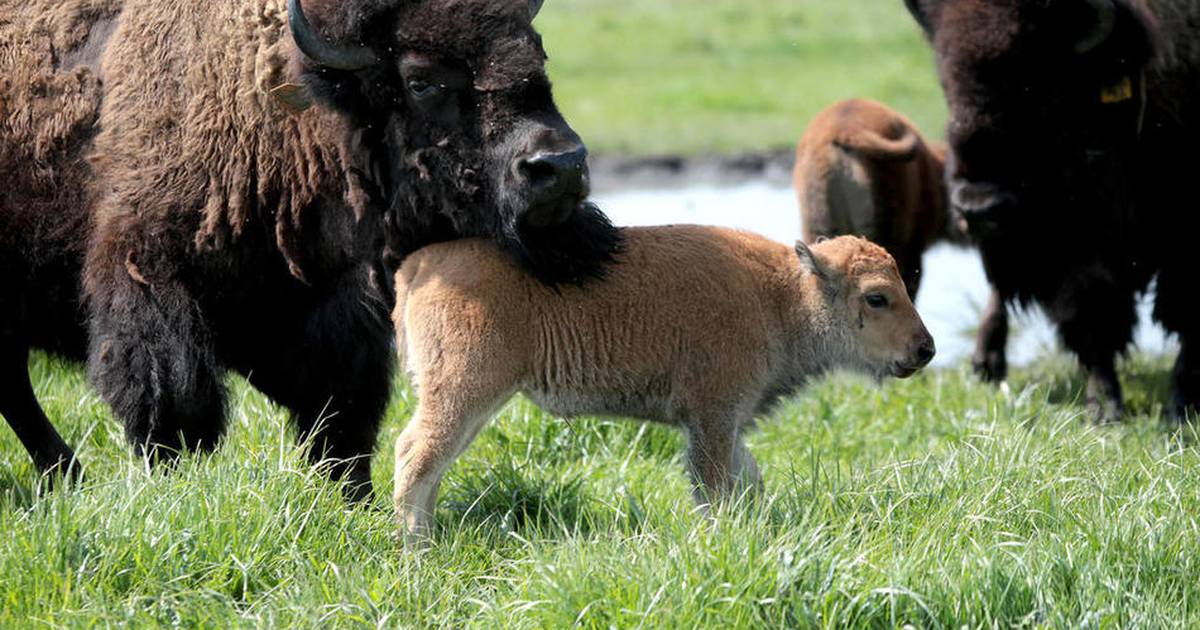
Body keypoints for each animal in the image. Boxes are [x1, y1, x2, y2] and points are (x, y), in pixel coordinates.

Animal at [0, 0, 619, 495]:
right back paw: (67, 475)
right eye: (421, 80)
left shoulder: (339, 314)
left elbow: (341, 416)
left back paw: (66, 477)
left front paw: (355, 501)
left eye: (536, 52)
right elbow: (174, 404)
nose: (560, 166)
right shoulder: (147, 276)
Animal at [904, 0, 1199, 422]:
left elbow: (1183, 313)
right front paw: (1103, 407)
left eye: (1037, 90)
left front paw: (1181, 404)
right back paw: (986, 364)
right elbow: (1089, 313)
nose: (978, 207)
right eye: (947, 87)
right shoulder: (1068, 247)